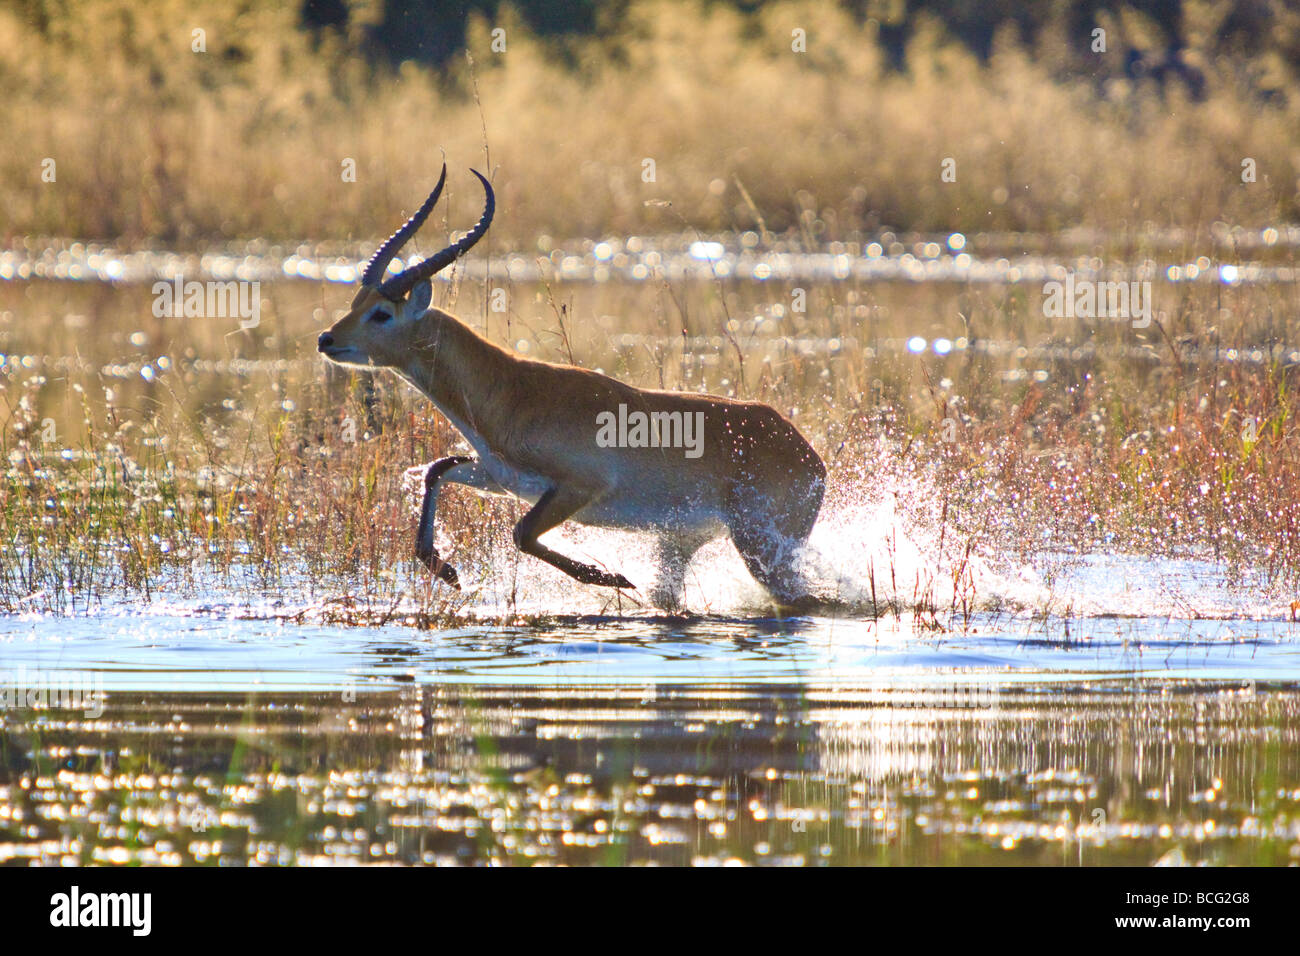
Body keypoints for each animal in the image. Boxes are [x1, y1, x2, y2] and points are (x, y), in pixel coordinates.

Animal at [317, 165, 826, 609]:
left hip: (759, 547)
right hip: (685, 545)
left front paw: (612, 577)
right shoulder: (501, 478)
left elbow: (521, 533)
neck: (512, 393)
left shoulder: (579, 487)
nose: (327, 340)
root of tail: (809, 455)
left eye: (382, 313)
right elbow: (437, 469)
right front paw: (446, 570)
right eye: (356, 302)